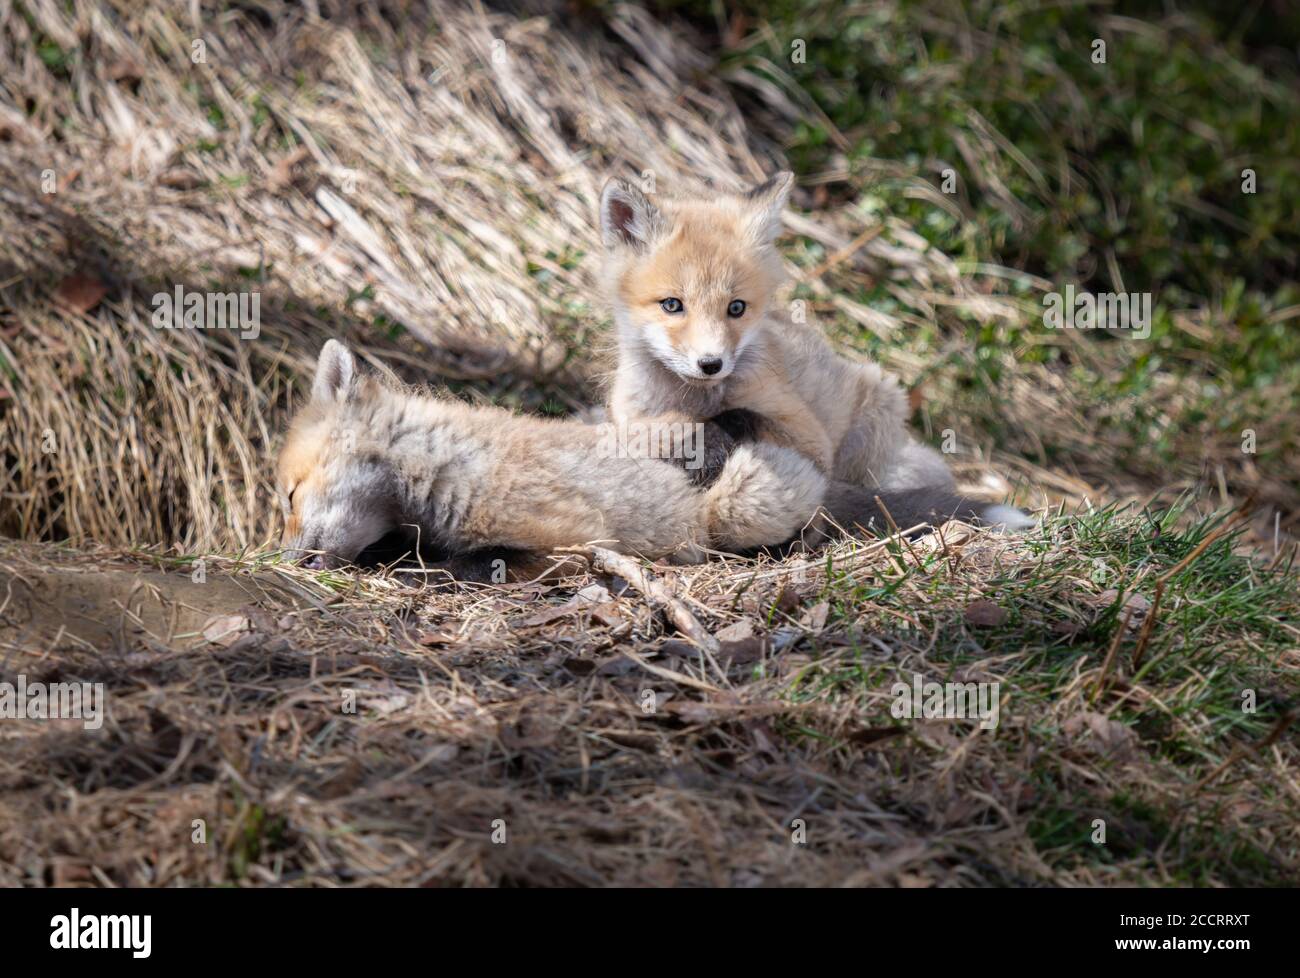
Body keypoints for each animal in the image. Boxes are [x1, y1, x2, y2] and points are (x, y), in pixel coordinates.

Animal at [598, 170, 1030, 529]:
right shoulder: (631, 417)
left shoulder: (808, 437)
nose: (711, 363)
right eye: (672, 305)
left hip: (875, 415)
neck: (694, 400)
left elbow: (737, 416)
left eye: (736, 308)